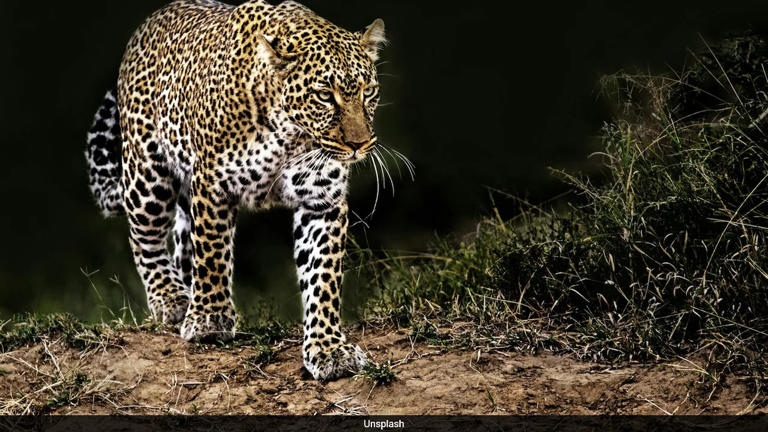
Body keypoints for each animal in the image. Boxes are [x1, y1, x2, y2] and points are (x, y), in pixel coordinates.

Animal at [84, 0, 392, 381]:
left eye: (369, 92)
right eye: (324, 96)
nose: (359, 145)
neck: (290, 134)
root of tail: (149, 23)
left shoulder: (322, 199)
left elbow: (322, 276)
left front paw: (329, 348)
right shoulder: (212, 183)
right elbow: (213, 253)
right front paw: (209, 320)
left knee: (182, 246)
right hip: (147, 173)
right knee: (145, 238)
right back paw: (172, 299)